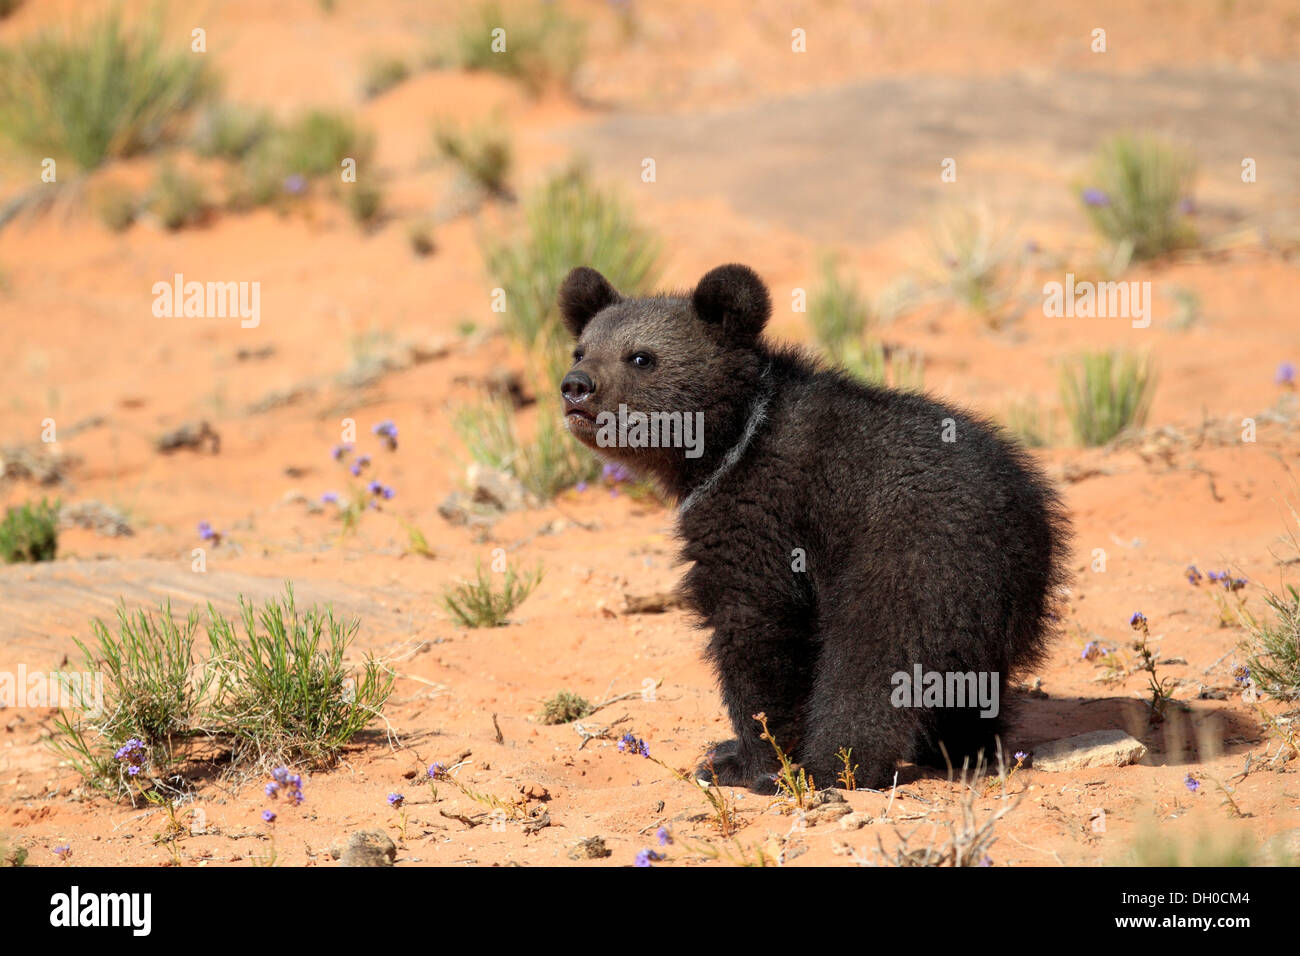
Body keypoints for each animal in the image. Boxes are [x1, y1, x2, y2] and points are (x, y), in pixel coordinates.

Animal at [557, 263, 1070, 792]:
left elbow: (759, 635)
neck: (729, 440)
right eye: (581, 349)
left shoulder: (763, 522)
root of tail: (1023, 521)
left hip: (910, 561)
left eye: (641, 356)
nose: (575, 385)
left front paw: (742, 760)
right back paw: (959, 750)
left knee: (871, 665)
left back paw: (833, 766)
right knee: (967, 690)